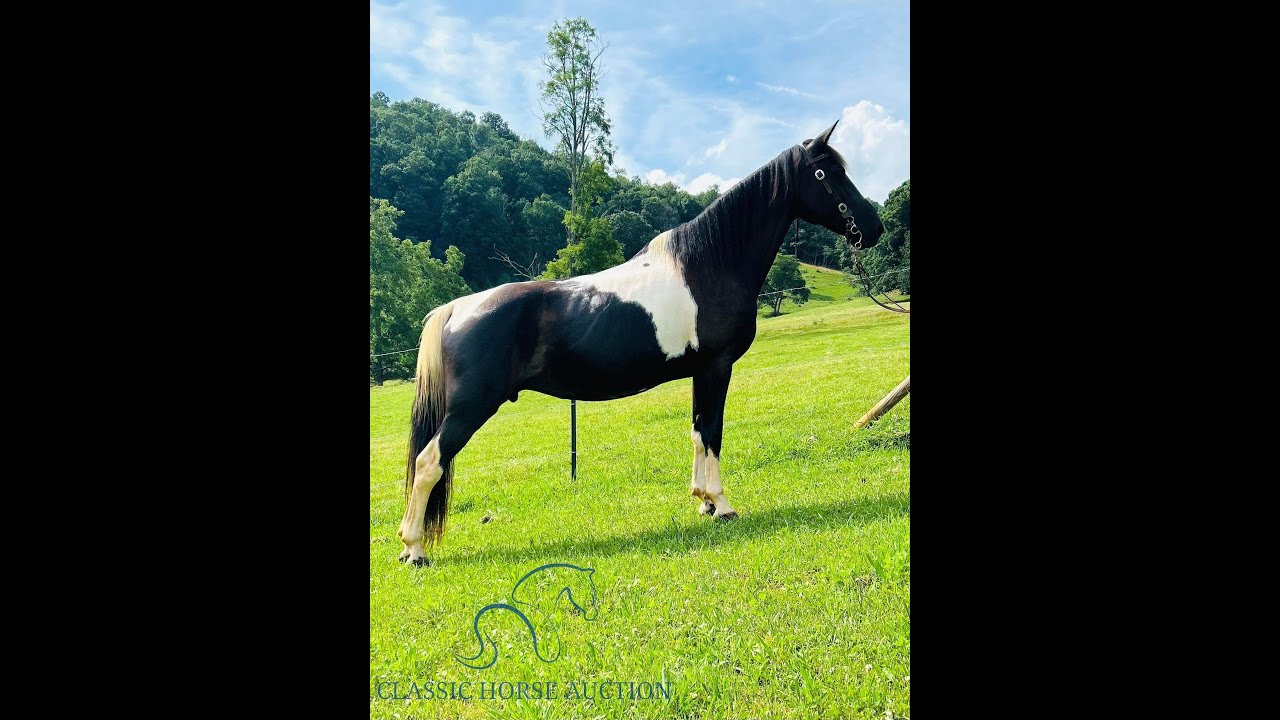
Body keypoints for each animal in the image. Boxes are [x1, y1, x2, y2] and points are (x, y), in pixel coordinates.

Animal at [397, 120, 885, 566]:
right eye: (828, 173)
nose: (874, 227)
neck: (709, 262)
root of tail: (456, 309)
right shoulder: (717, 367)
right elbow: (713, 431)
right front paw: (722, 505)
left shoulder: (700, 371)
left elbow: (698, 432)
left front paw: (703, 502)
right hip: (471, 407)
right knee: (428, 462)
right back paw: (414, 549)